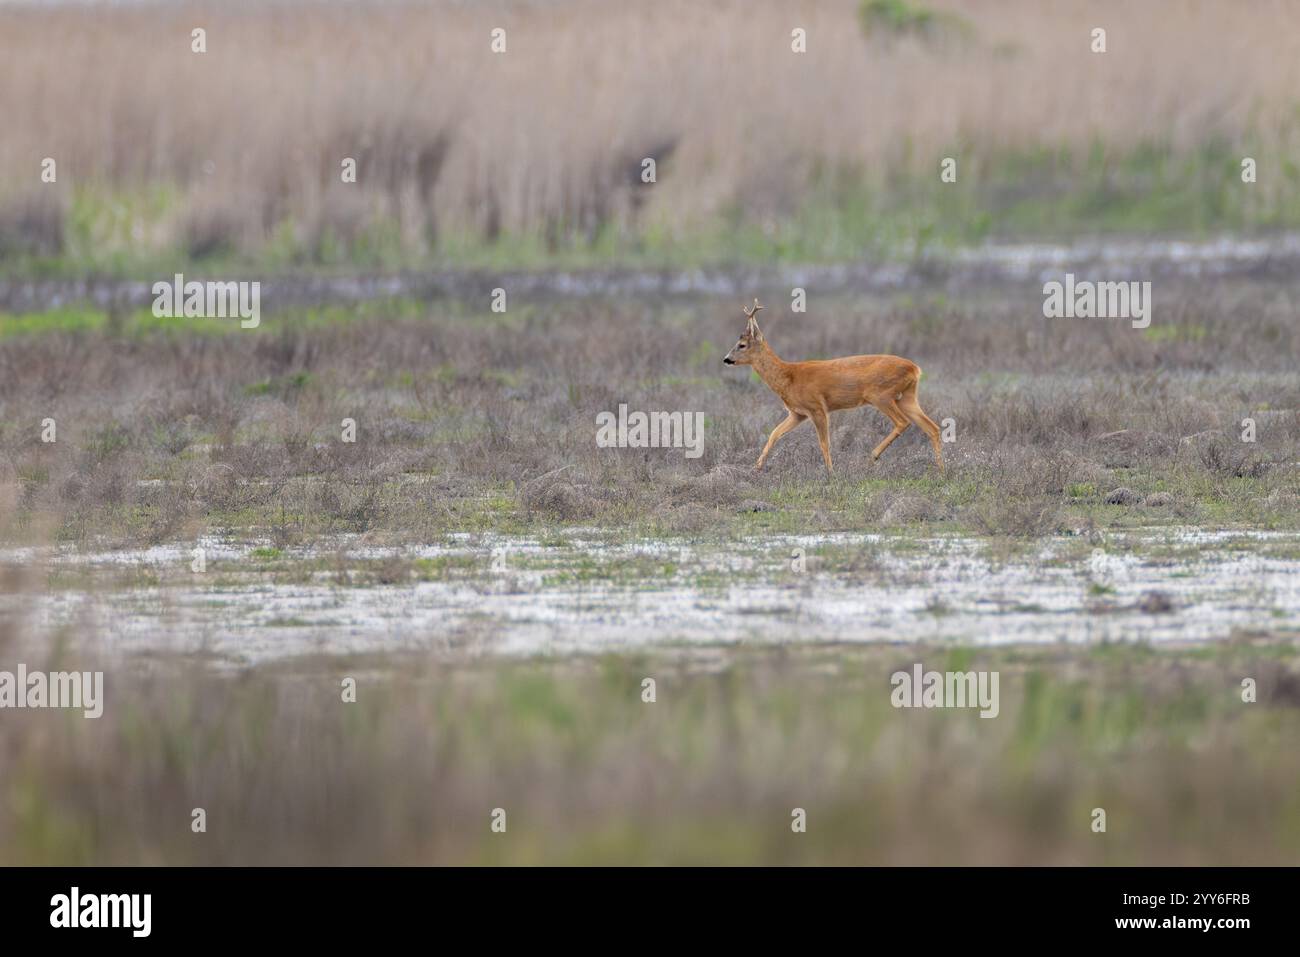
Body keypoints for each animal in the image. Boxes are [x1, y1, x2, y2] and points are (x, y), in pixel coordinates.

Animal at [722, 299, 943, 474]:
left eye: (742, 345)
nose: (726, 359)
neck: (788, 376)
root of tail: (915, 368)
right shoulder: (797, 413)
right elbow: (774, 434)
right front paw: (756, 467)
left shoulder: (817, 407)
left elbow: (824, 443)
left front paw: (830, 472)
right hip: (907, 396)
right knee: (932, 427)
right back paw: (941, 470)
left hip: (881, 394)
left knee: (903, 422)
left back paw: (872, 456)